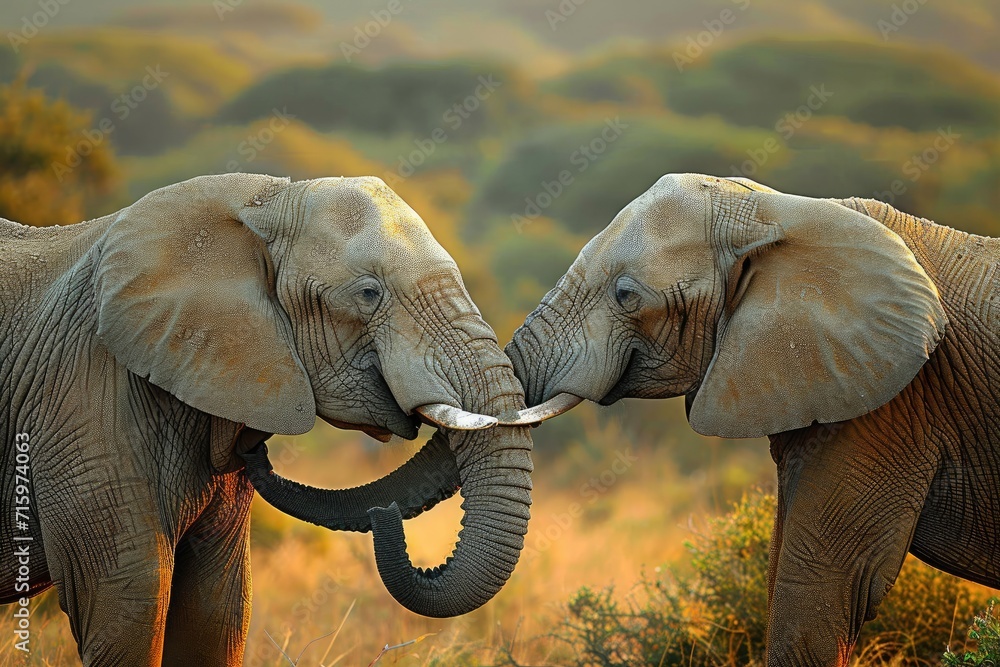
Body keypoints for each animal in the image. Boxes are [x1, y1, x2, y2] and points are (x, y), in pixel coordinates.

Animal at [0, 173, 566, 666]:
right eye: (368, 294)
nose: (384, 516)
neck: (262, 203)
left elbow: (217, 610)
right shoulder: (84, 400)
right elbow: (130, 603)